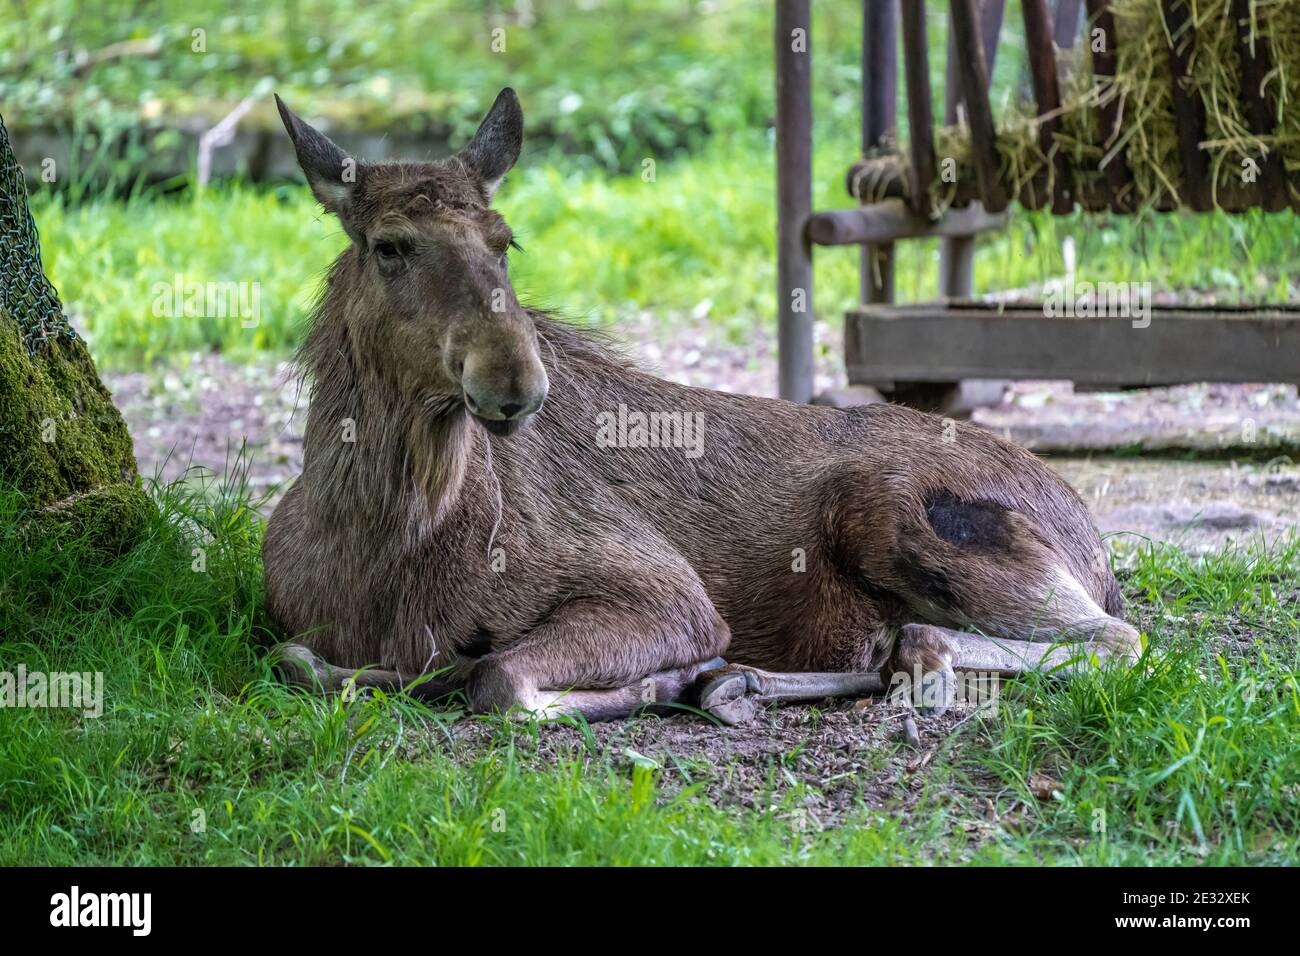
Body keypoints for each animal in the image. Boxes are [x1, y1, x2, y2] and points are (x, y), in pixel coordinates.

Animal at [264, 88, 1144, 726]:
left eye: (504, 241)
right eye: (389, 245)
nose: (515, 378)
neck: (385, 540)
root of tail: (1098, 551)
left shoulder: (667, 594)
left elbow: (500, 678)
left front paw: (666, 680)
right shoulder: (299, 628)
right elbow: (305, 662)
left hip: (899, 515)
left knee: (1110, 638)